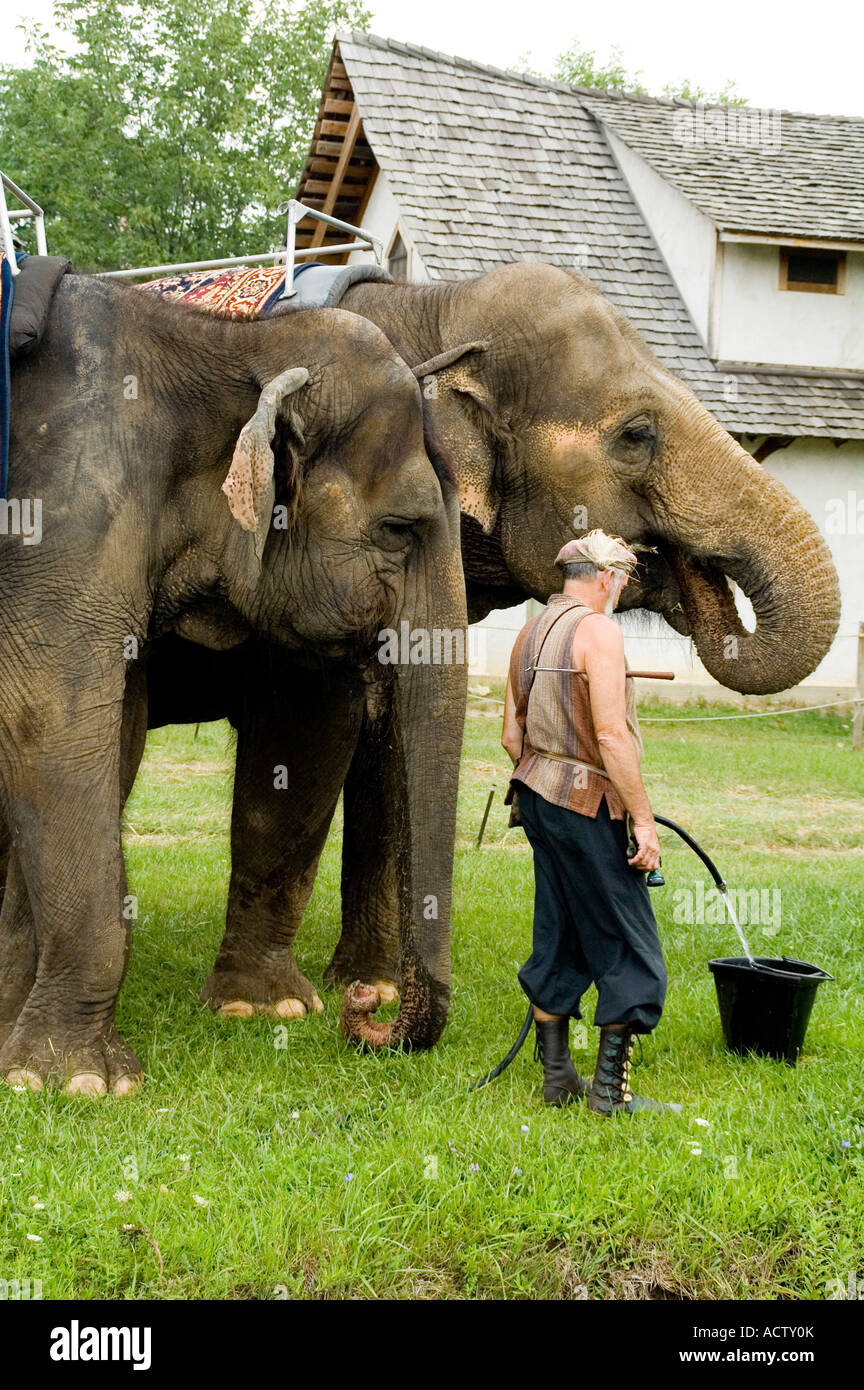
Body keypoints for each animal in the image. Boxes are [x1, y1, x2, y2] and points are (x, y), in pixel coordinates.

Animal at [0, 273, 467, 1093]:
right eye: (400, 529)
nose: (365, 1008)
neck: (225, 343)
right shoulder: (63, 515)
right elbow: (52, 720)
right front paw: (80, 1082)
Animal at [140, 261, 841, 1049]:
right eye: (636, 435)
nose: (676, 562)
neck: (440, 305)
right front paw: (310, 1002)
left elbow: (390, 742)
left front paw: (373, 985)